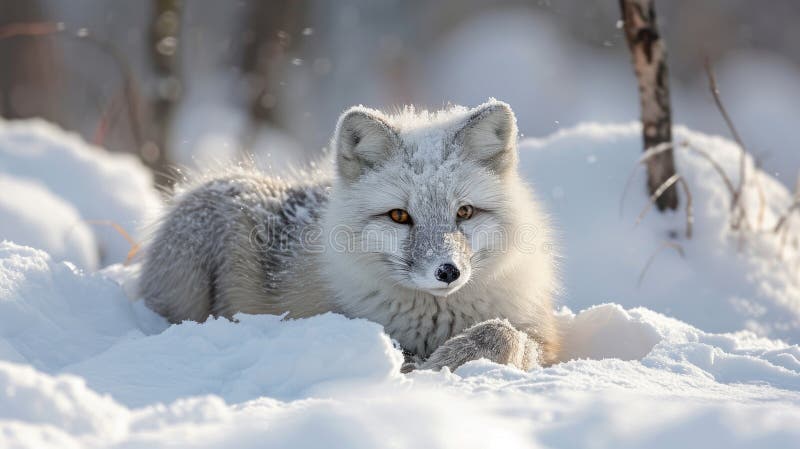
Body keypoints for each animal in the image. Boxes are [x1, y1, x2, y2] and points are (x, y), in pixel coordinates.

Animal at [140, 99, 560, 372]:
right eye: (399, 216)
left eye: (465, 212)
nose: (447, 272)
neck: (436, 317)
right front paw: (431, 364)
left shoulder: (544, 338)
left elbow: (505, 335)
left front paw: (454, 355)